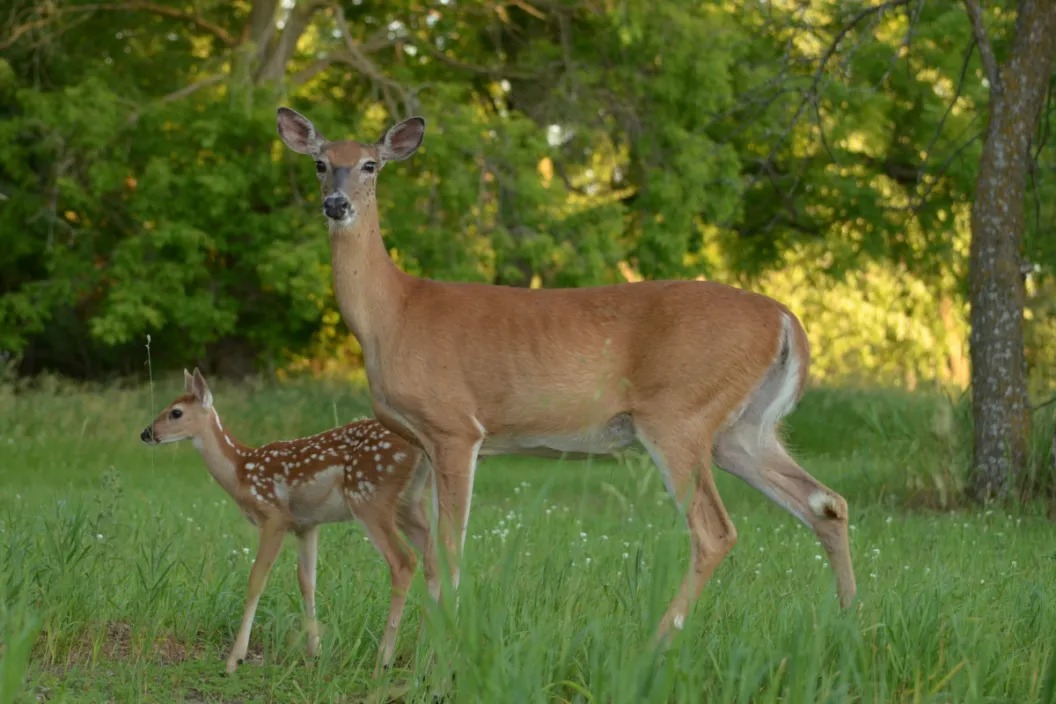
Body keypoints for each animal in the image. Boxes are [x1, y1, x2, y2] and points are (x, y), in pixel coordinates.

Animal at [140, 368, 437, 674]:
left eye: (175, 412)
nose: (145, 433)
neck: (240, 471)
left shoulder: (274, 516)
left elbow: (256, 578)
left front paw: (235, 658)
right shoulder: (306, 525)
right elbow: (307, 581)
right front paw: (315, 652)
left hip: (370, 497)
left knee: (404, 561)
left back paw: (384, 661)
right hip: (408, 504)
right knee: (434, 557)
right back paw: (425, 653)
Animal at [275, 107, 857, 642]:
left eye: (370, 164)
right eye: (320, 163)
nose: (336, 203)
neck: (393, 314)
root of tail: (785, 319)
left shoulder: (455, 427)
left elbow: (451, 544)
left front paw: (445, 641)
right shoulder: (426, 440)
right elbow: (437, 549)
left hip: (679, 413)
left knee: (715, 530)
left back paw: (657, 639)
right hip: (741, 429)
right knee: (826, 503)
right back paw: (847, 624)